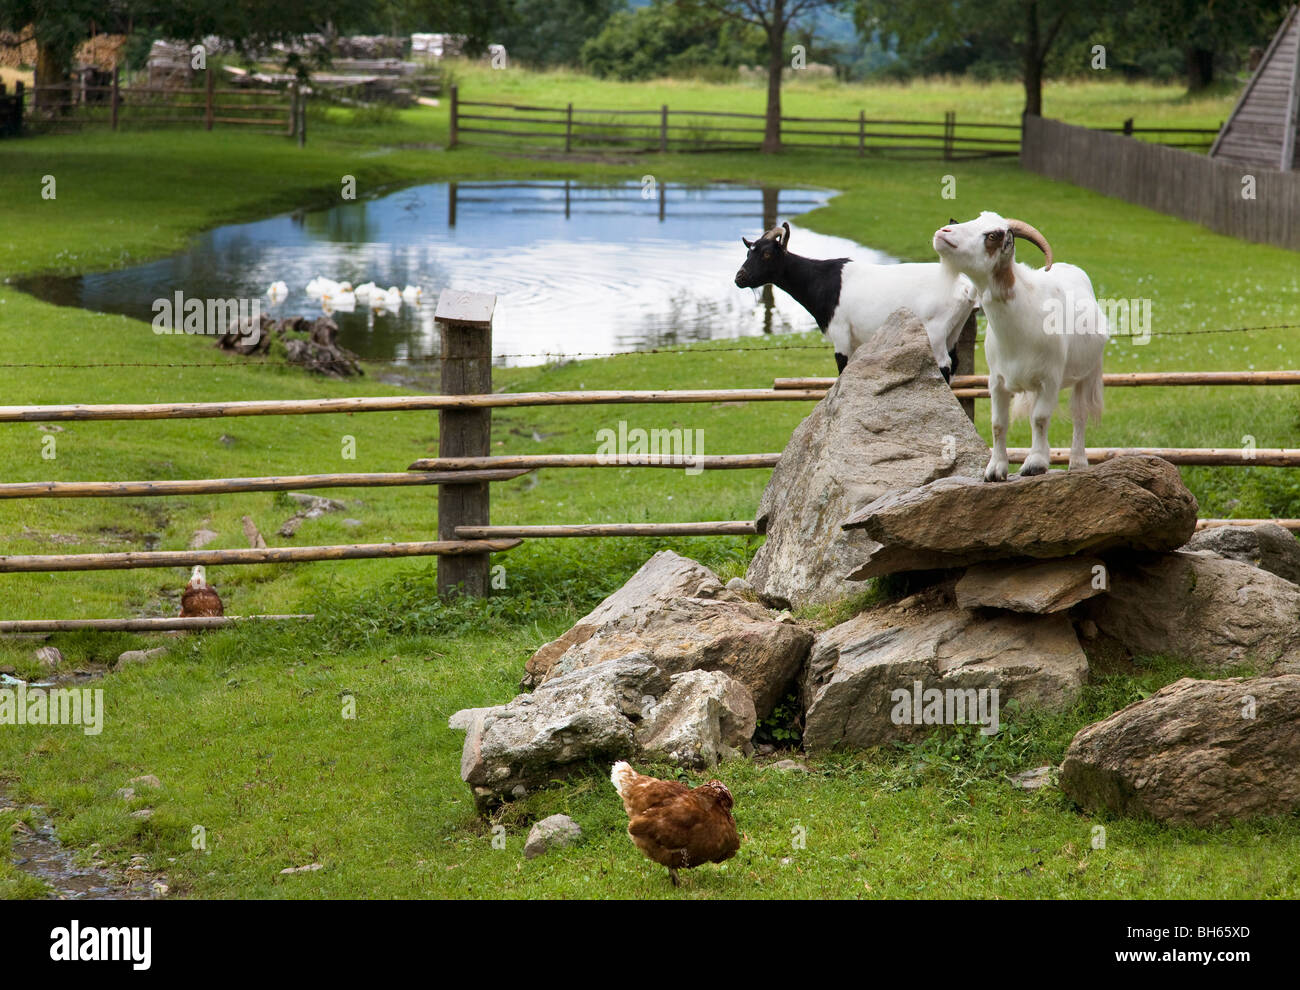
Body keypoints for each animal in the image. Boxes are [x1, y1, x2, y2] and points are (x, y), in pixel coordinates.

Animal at [734, 222, 978, 378]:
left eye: (767, 254)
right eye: (748, 253)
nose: (739, 278)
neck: (822, 279)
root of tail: (964, 287)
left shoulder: (840, 332)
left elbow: (843, 368)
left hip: (935, 329)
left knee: (944, 364)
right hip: (953, 330)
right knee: (954, 363)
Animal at [932, 211, 1107, 482]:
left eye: (993, 234)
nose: (944, 232)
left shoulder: (1050, 379)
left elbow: (1040, 419)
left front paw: (1035, 464)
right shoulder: (996, 380)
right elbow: (998, 423)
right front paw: (995, 470)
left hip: (1087, 373)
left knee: (1079, 413)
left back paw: (1077, 462)